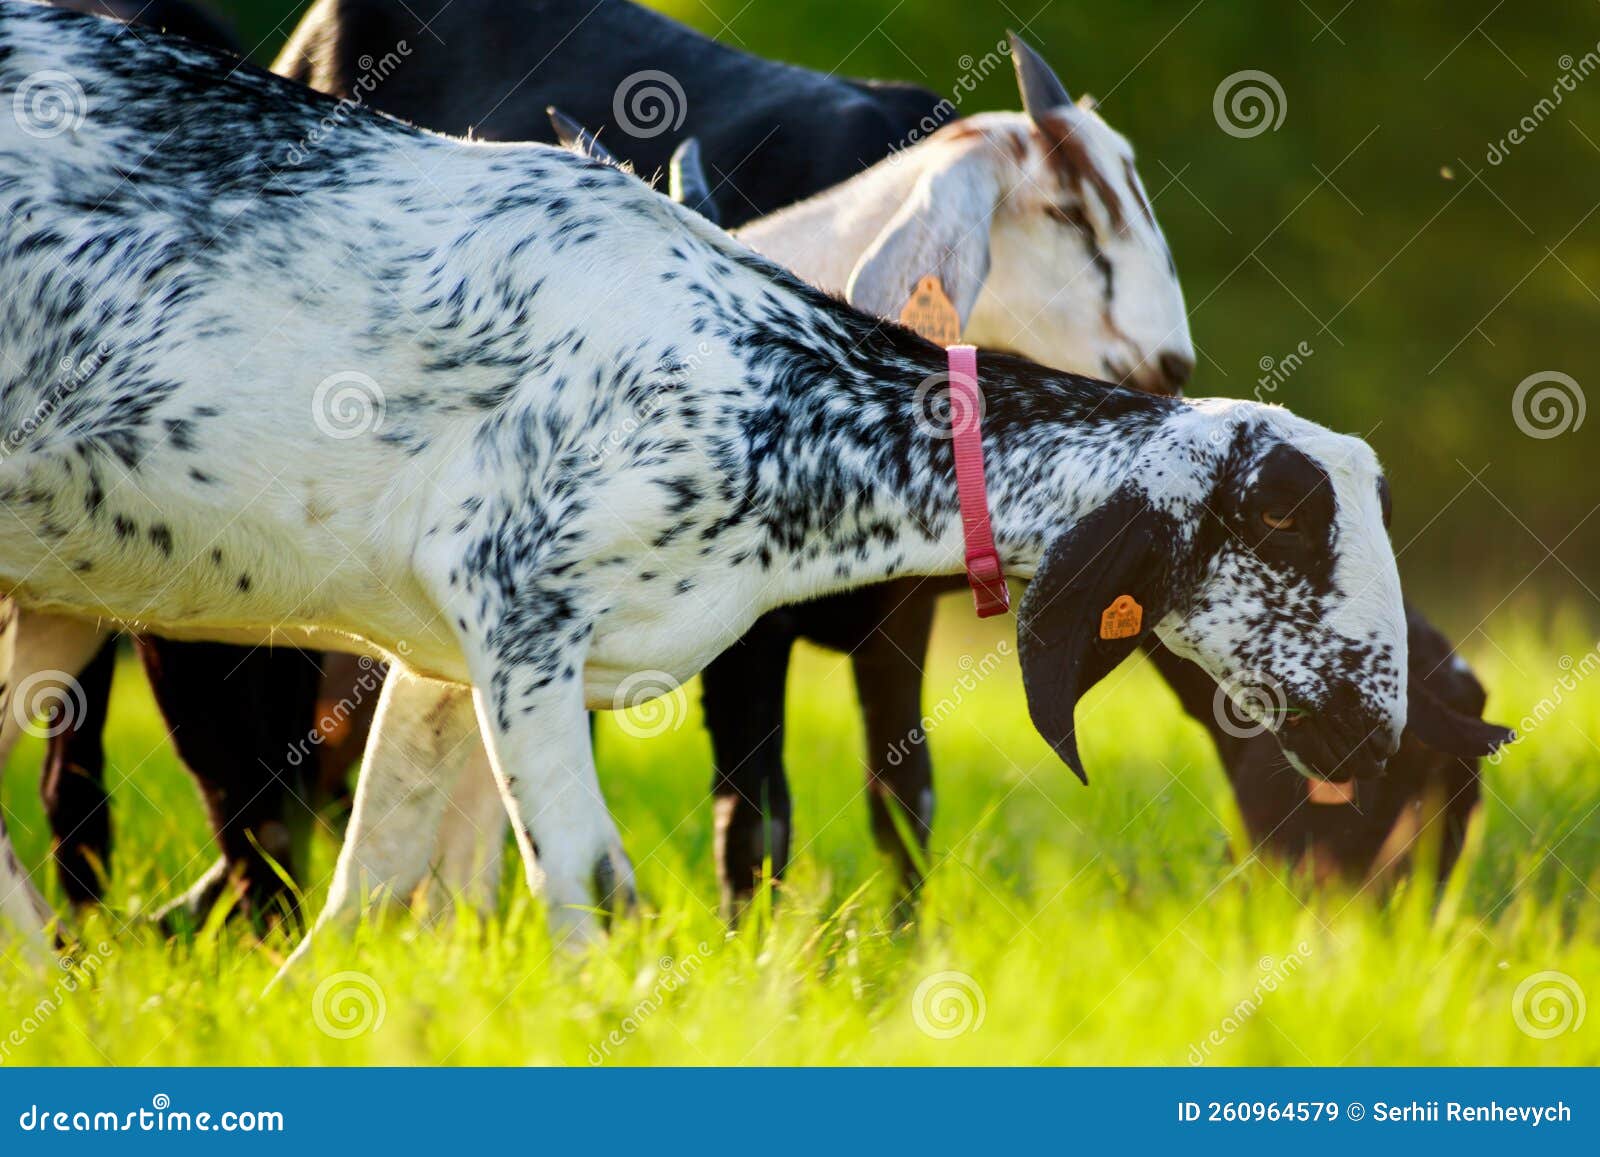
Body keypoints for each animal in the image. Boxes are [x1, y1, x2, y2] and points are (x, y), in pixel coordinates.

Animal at [0, 3, 1415, 953]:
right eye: (1286, 513)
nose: (1377, 730)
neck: (762, 380)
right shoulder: (515, 615)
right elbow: (596, 889)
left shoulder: (450, 666)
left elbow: (371, 886)